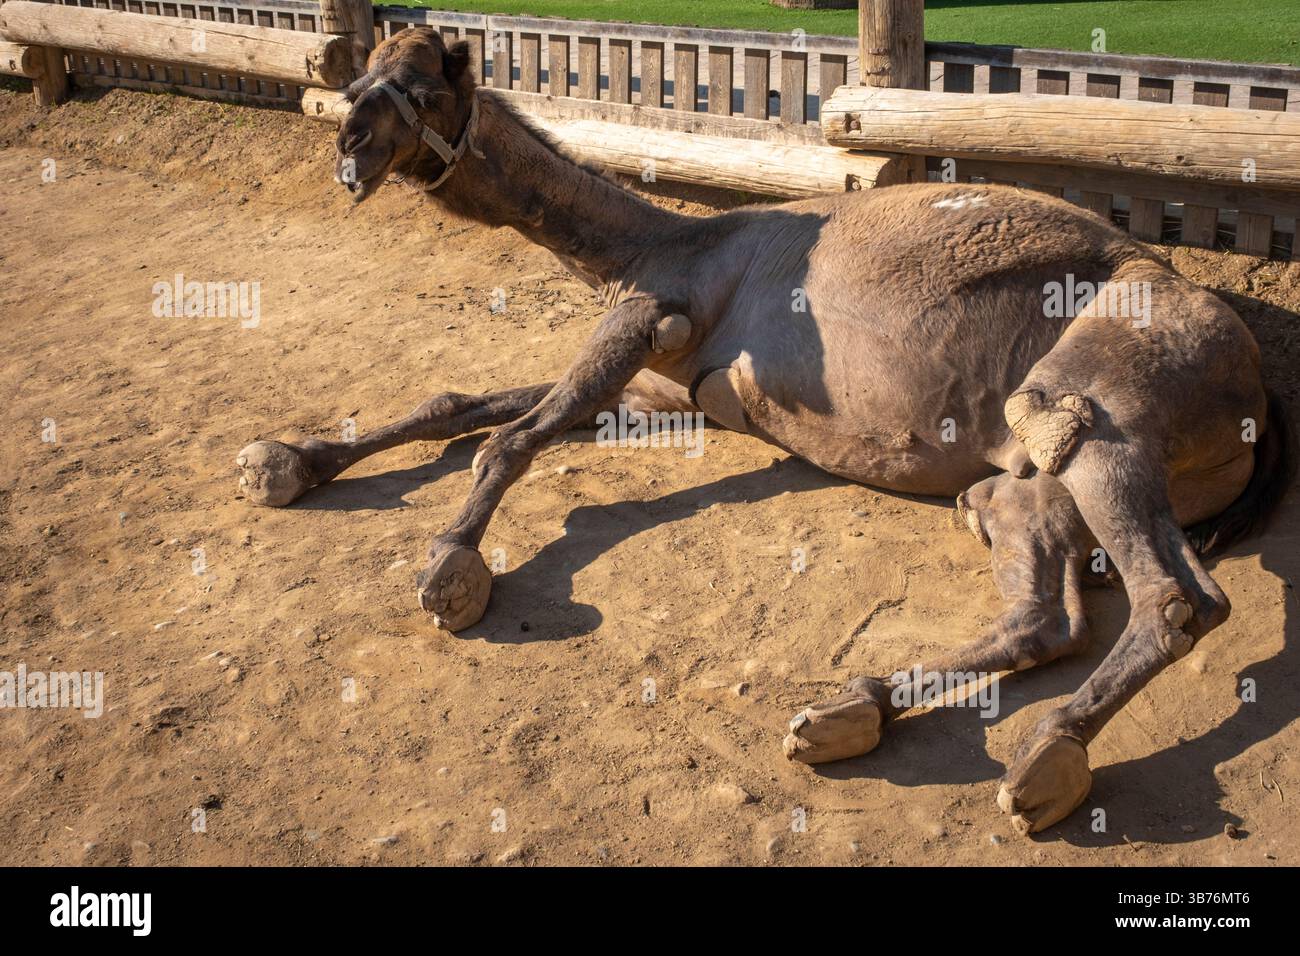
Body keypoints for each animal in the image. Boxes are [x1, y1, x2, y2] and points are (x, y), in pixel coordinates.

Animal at [234, 28, 1296, 835]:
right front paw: (286, 460)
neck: (659, 238)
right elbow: (465, 405)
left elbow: (516, 437)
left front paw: (452, 565)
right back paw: (850, 712)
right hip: (1021, 481)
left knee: (1177, 600)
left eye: (419, 90)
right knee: (1049, 606)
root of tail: (1261, 386)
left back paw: (1045, 757)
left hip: (1096, 398)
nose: (350, 147)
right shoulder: (666, 388)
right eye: (356, 80)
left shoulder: (649, 314)